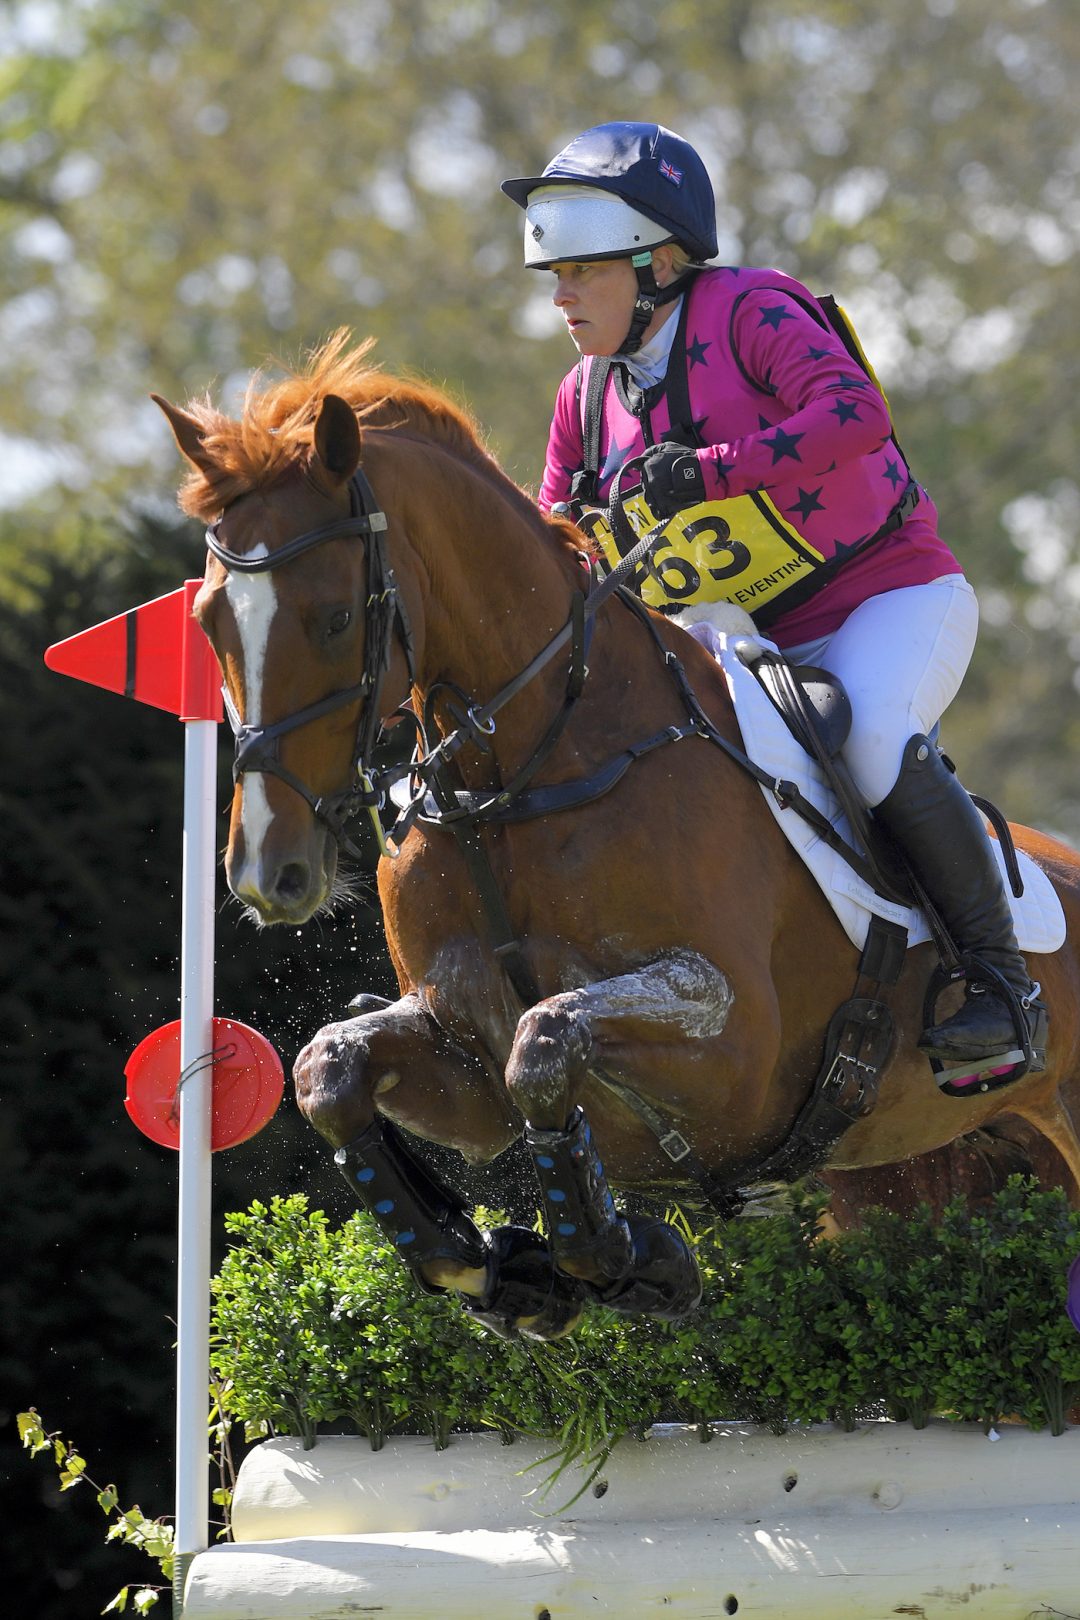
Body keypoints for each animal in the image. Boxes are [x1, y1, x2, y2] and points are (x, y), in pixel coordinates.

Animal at [154, 331, 1080, 1339]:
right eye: (208, 623)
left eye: (332, 617)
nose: (267, 873)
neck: (519, 778)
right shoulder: (459, 1052)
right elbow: (332, 1066)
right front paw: (498, 1270)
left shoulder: (735, 1051)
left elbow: (548, 1041)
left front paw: (629, 1259)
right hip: (915, 1177)